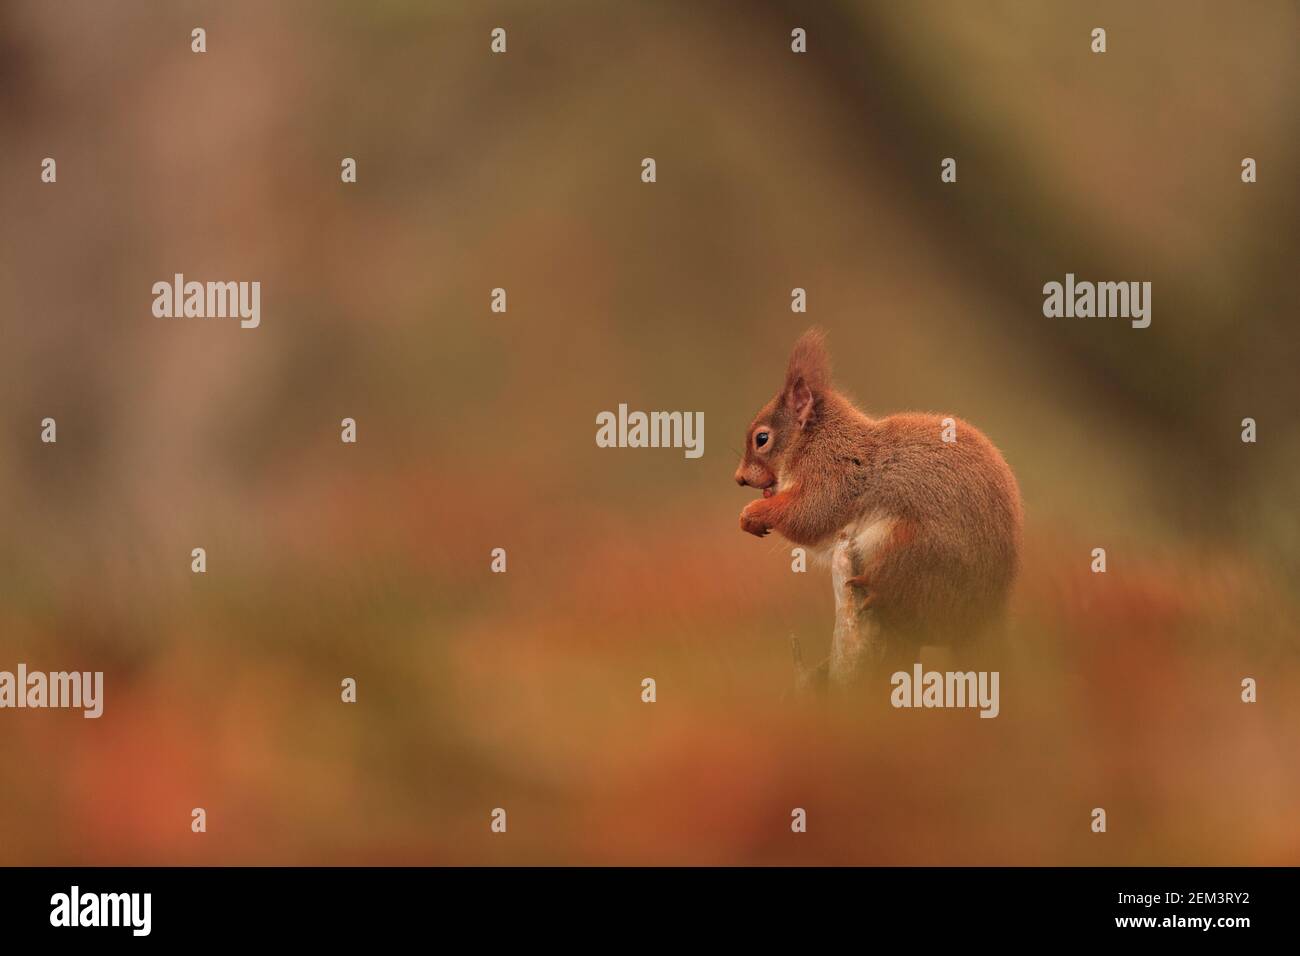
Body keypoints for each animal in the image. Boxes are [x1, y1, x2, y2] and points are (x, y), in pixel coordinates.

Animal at [734, 328, 1023, 687]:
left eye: (762, 439)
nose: (739, 478)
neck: (816, 440)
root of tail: (986, 614)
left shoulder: (834, 475)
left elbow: (810, 515)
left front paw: (752, 513)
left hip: (912, 548)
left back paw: (877, 592)